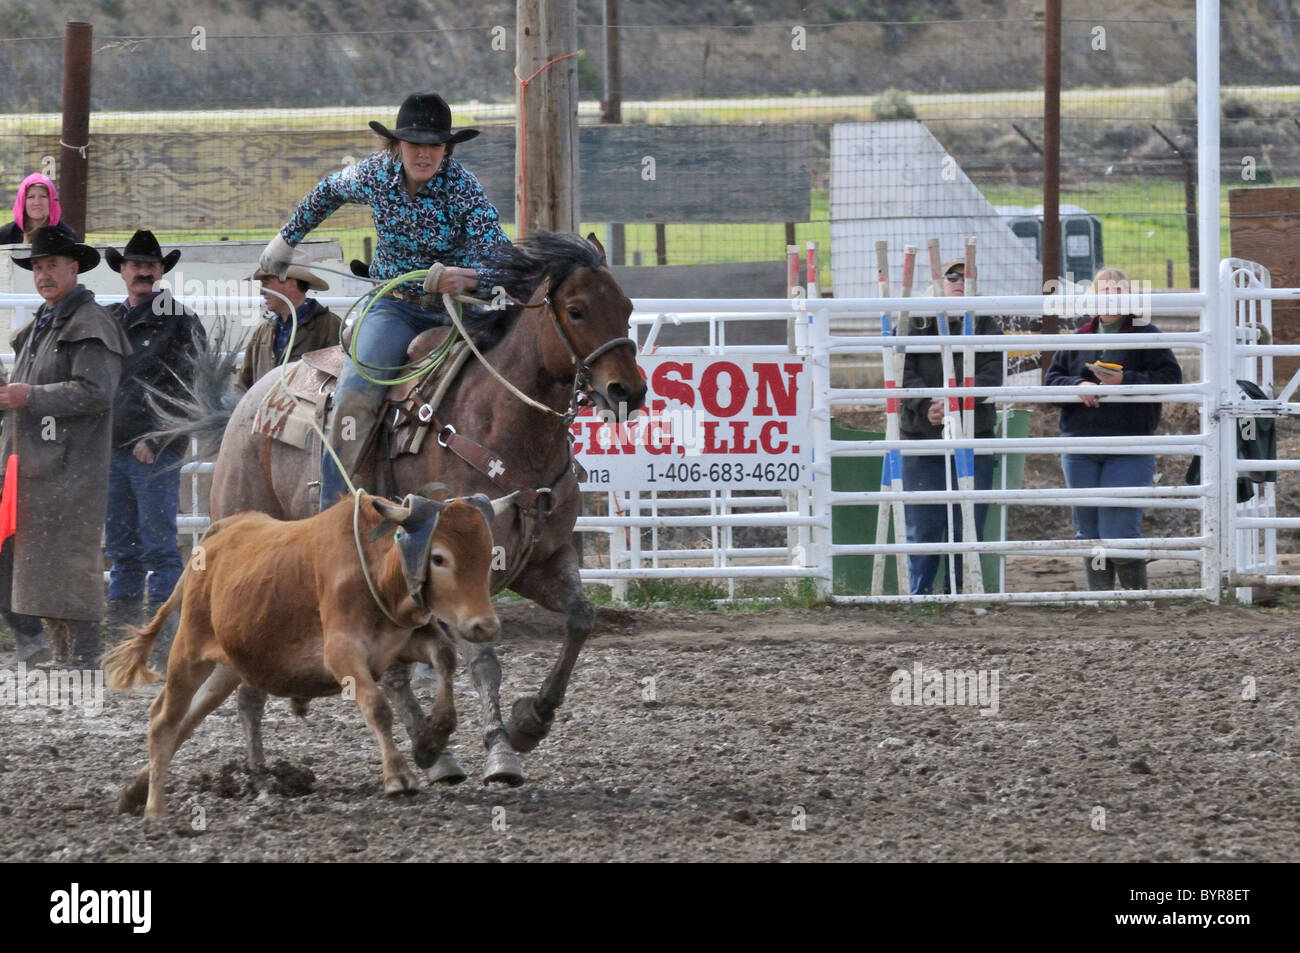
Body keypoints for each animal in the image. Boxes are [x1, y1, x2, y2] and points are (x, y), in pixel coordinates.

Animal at [104, 490, 511, 818]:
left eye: (488, 553)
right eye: (439, 558)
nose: (486, 626)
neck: (374, 566)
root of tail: (215, 535)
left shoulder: (402, 642)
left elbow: (445, 658)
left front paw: (431, 742)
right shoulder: (342, 654)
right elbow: (377, 705)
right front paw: (397, 774)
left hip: (228, 667)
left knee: (186, 719)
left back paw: (136, 791)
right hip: (189, 652)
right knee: (163, 721)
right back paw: (155, 808)